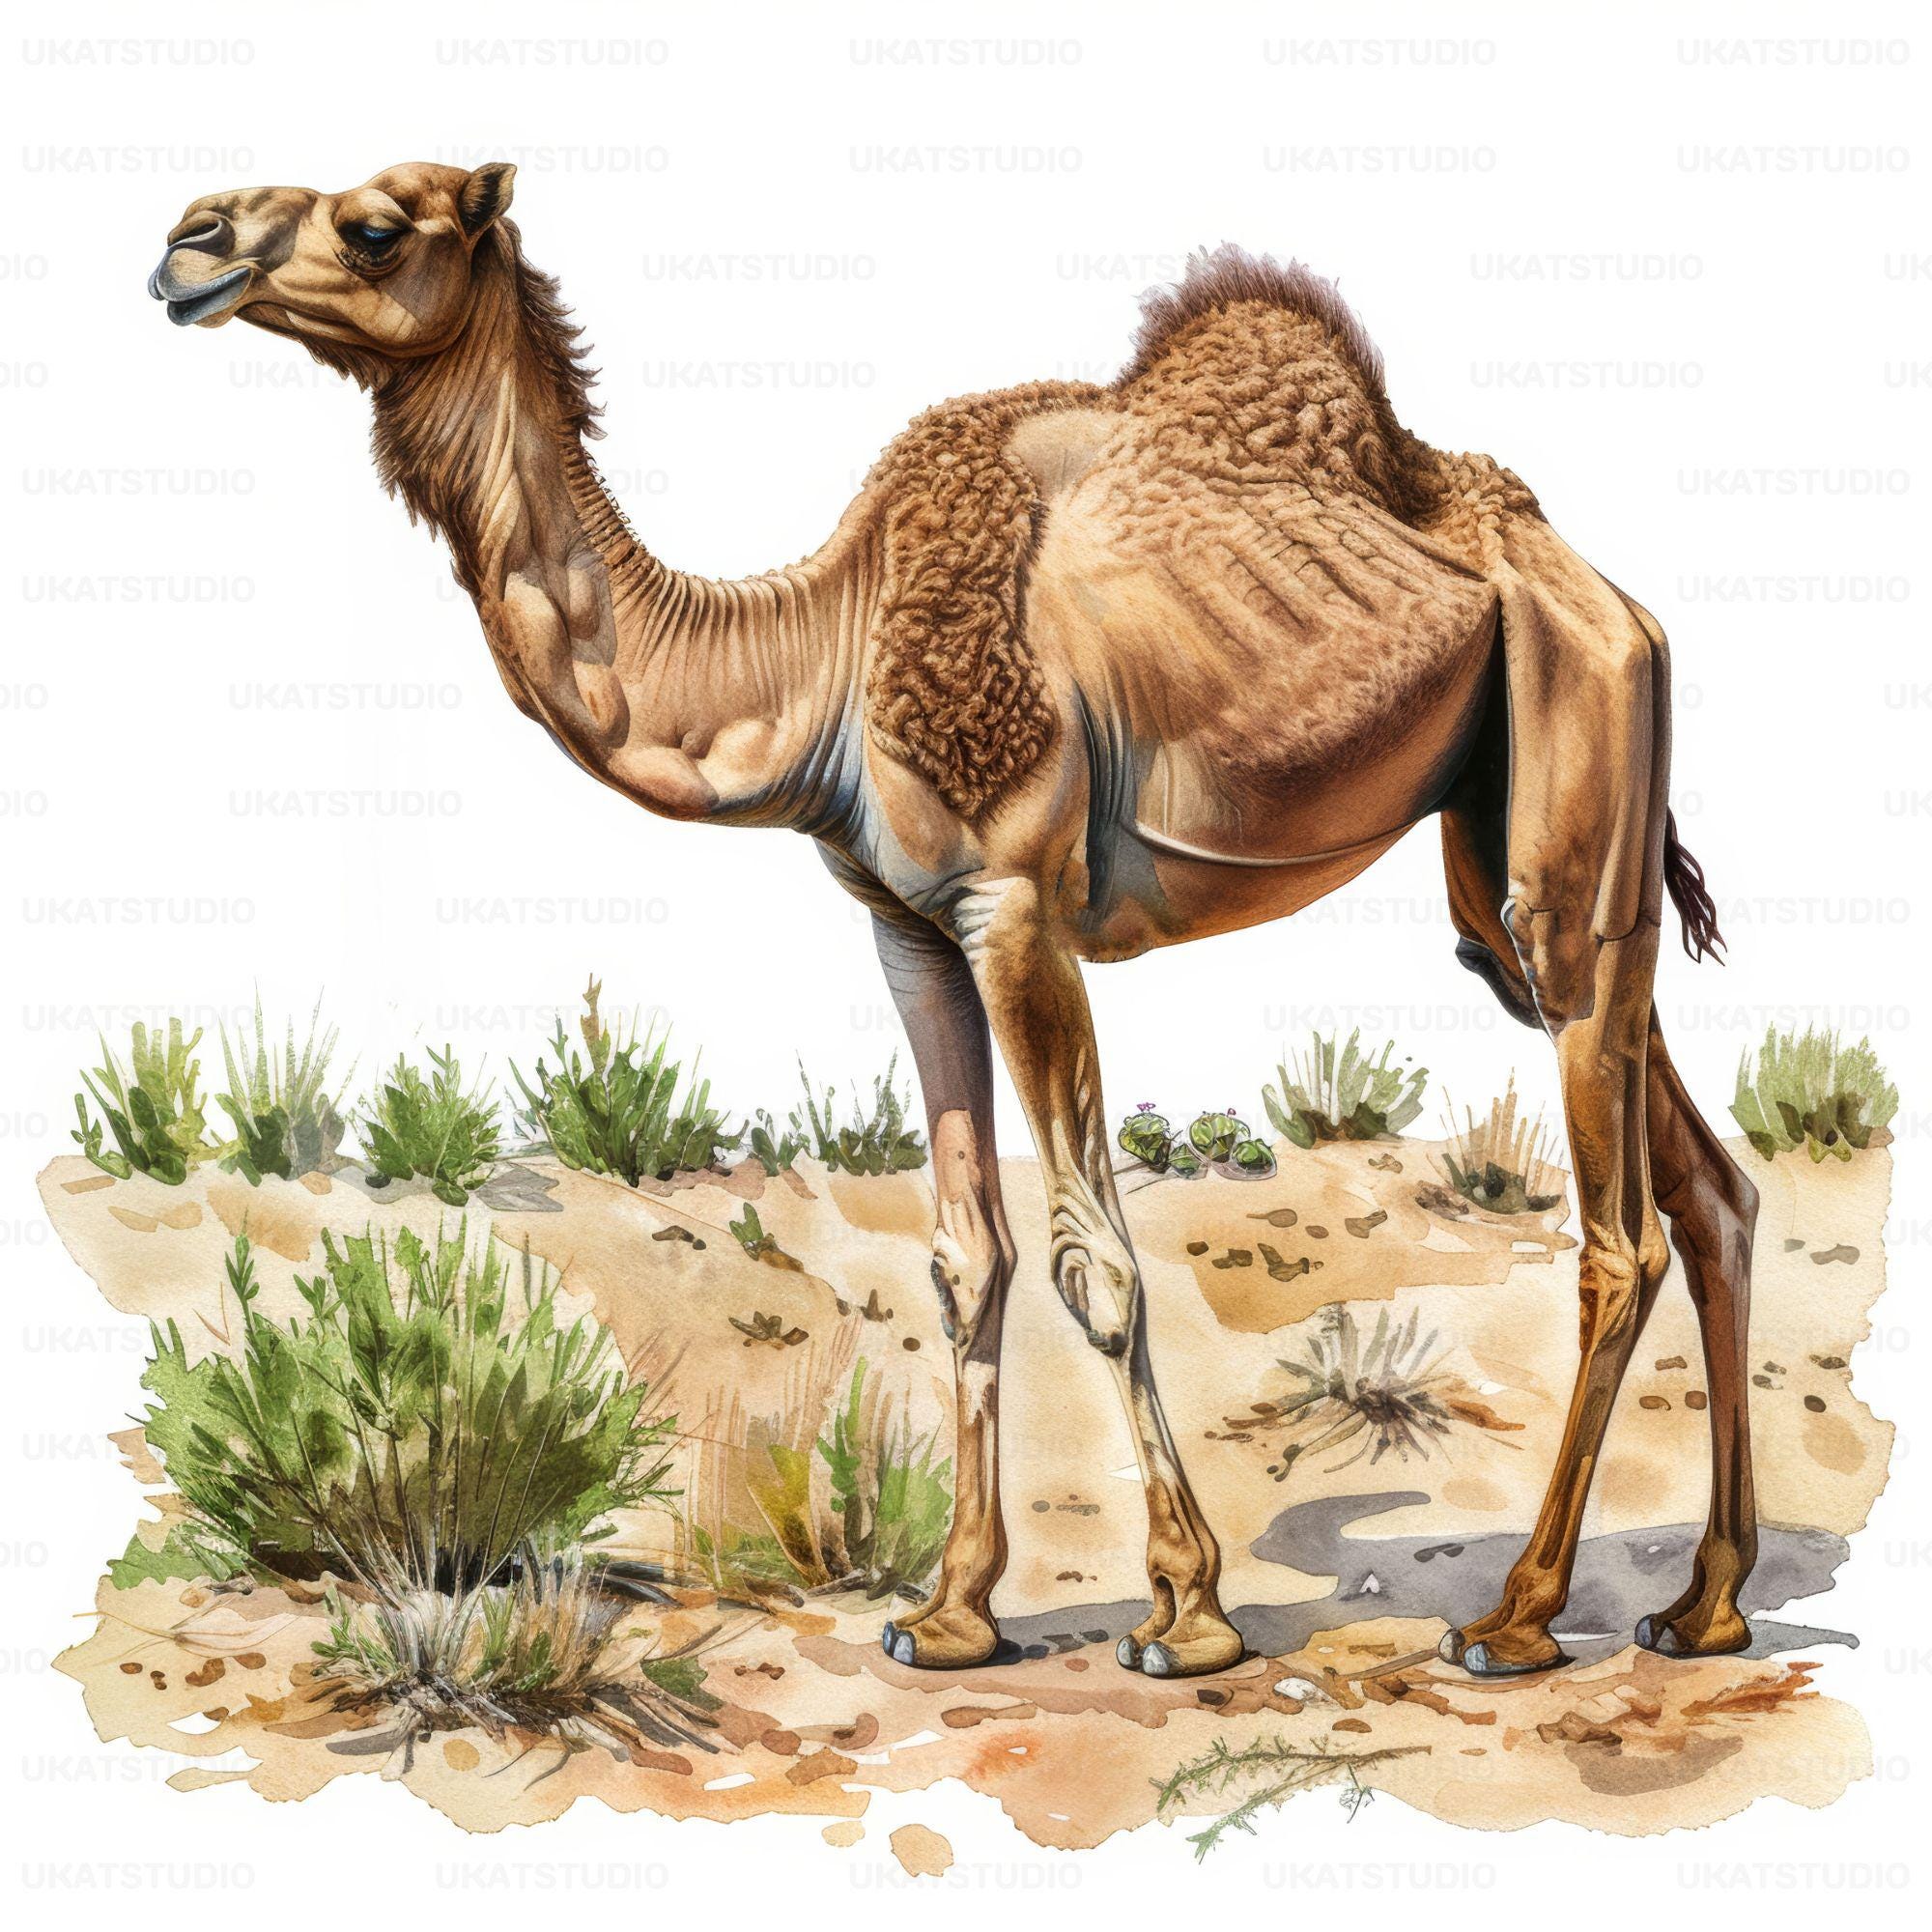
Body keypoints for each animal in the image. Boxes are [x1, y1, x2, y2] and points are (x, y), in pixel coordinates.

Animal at [149, 162, 1758, 1682]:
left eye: (373, 223)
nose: (188, 241)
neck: (816, 654)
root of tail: (1606, 593)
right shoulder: (908, 929)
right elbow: (965, 1258)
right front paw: (953, 1613)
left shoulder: (1016, 909)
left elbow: (1095, 1263)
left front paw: (1187, 1614)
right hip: (1511, 863)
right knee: (1711, 1185)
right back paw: (1704, 1604)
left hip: (1571, 772)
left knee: (1620, 1231)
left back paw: (1520, 1617)